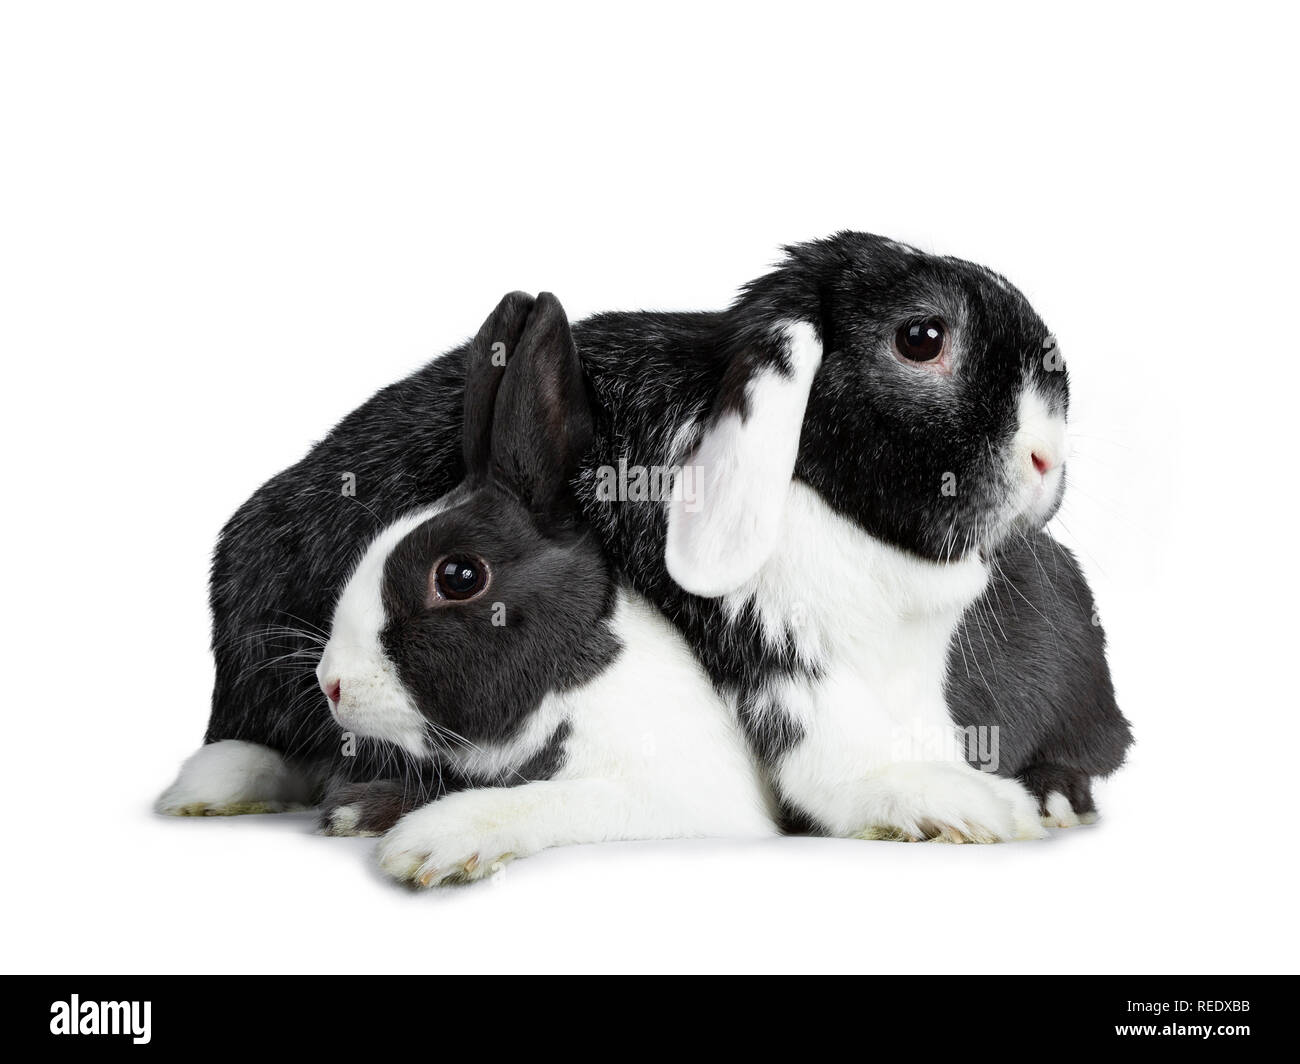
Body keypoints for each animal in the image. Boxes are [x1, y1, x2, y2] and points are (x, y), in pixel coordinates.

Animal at [154, 230, 1128, 848]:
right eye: (922, 337)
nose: (1048, 459)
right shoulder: (782, 663)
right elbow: (835, 764)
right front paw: (951, 805)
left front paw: (981, 802)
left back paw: (1055, 794)